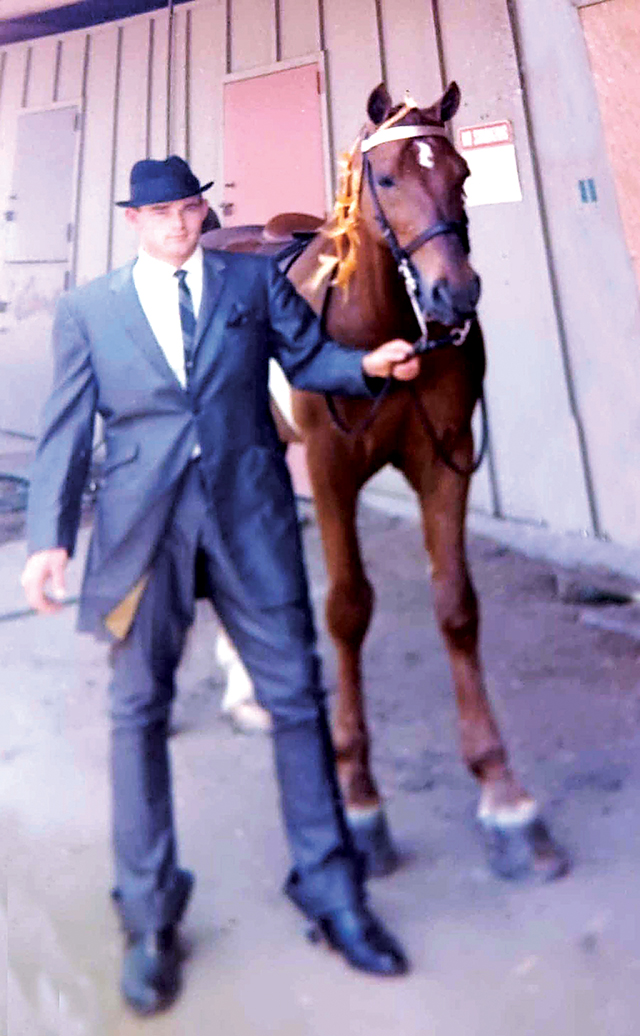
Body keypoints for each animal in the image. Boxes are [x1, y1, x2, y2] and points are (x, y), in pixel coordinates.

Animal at [203, 81, 568, 882]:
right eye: (390, 178)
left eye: (463, 173)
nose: (454, 293)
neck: (379, 325)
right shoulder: (331, 469)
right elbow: (347, 610)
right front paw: (360, 802)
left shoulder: (446, 460)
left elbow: (456, 606)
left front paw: (505, 798)